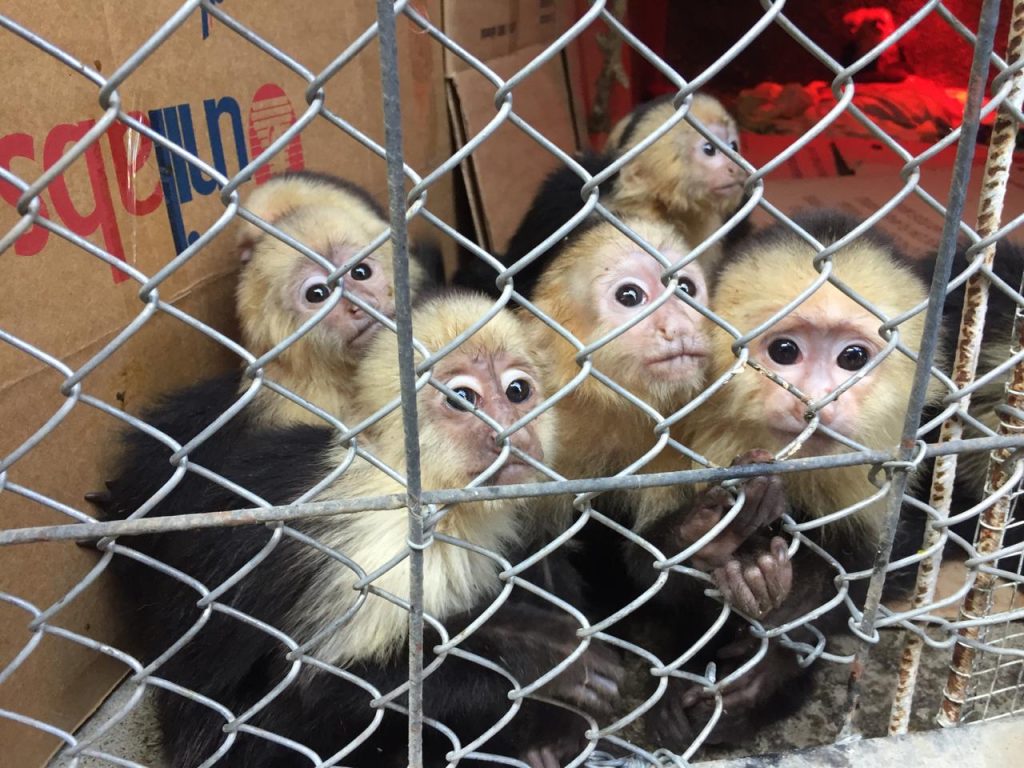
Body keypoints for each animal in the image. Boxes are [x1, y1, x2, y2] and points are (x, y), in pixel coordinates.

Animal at [106, 293, 624, 768]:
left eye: (518, 391)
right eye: (463, 399)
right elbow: (324, 690)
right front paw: (529, 654)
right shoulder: (379, 546)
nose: (511, 433)